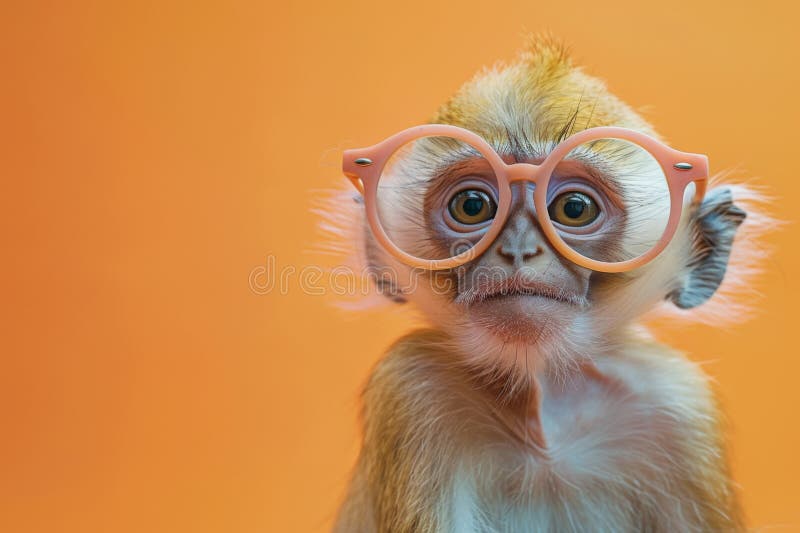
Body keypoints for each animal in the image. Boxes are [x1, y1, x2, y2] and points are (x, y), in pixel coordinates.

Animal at [327, 36, 762, 533]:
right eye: (473, 205)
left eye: (574, 208)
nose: (519, 250)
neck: (542, 404)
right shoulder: (411, 386)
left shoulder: (680, 404)